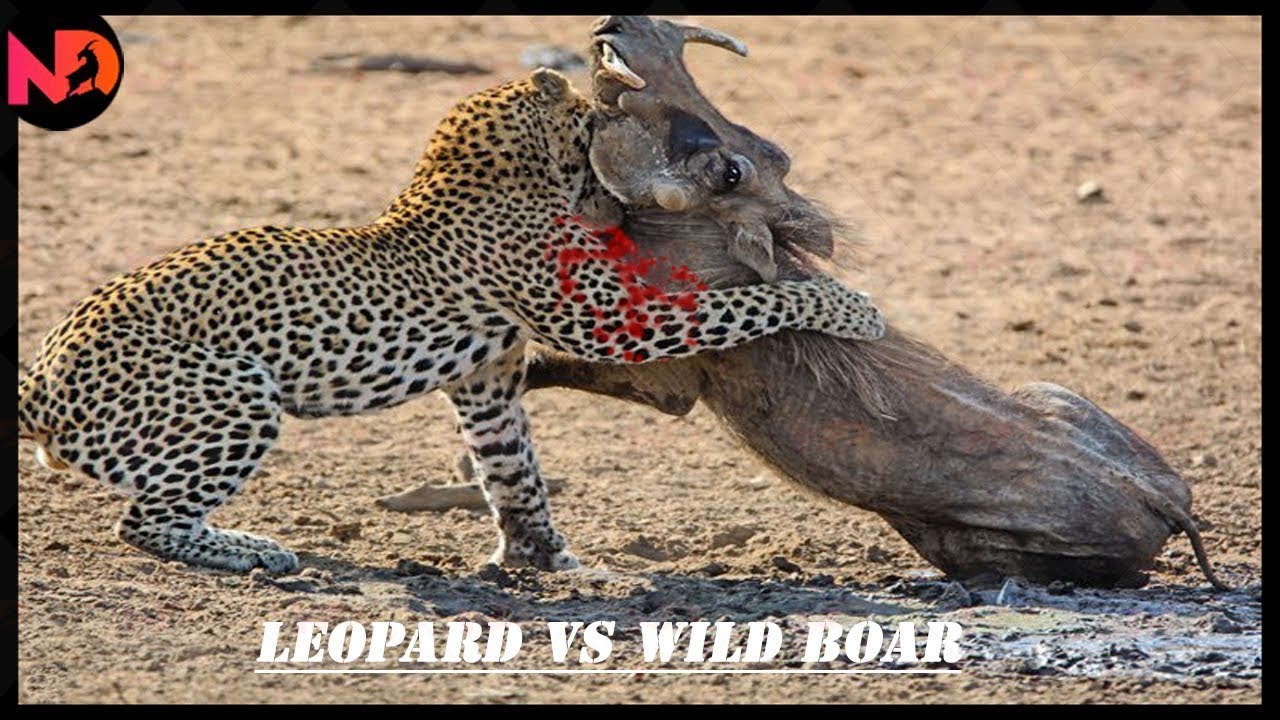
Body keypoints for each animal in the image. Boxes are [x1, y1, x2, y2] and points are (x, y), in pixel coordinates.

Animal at [16, 69, 885, 575]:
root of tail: (40, 382)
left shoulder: (486, 381)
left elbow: (513, 468)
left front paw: (544, 554)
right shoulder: (605, 317)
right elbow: (745, 303)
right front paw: (852, 307)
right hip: (232, 398)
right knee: (143, 520)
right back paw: (253, 550)